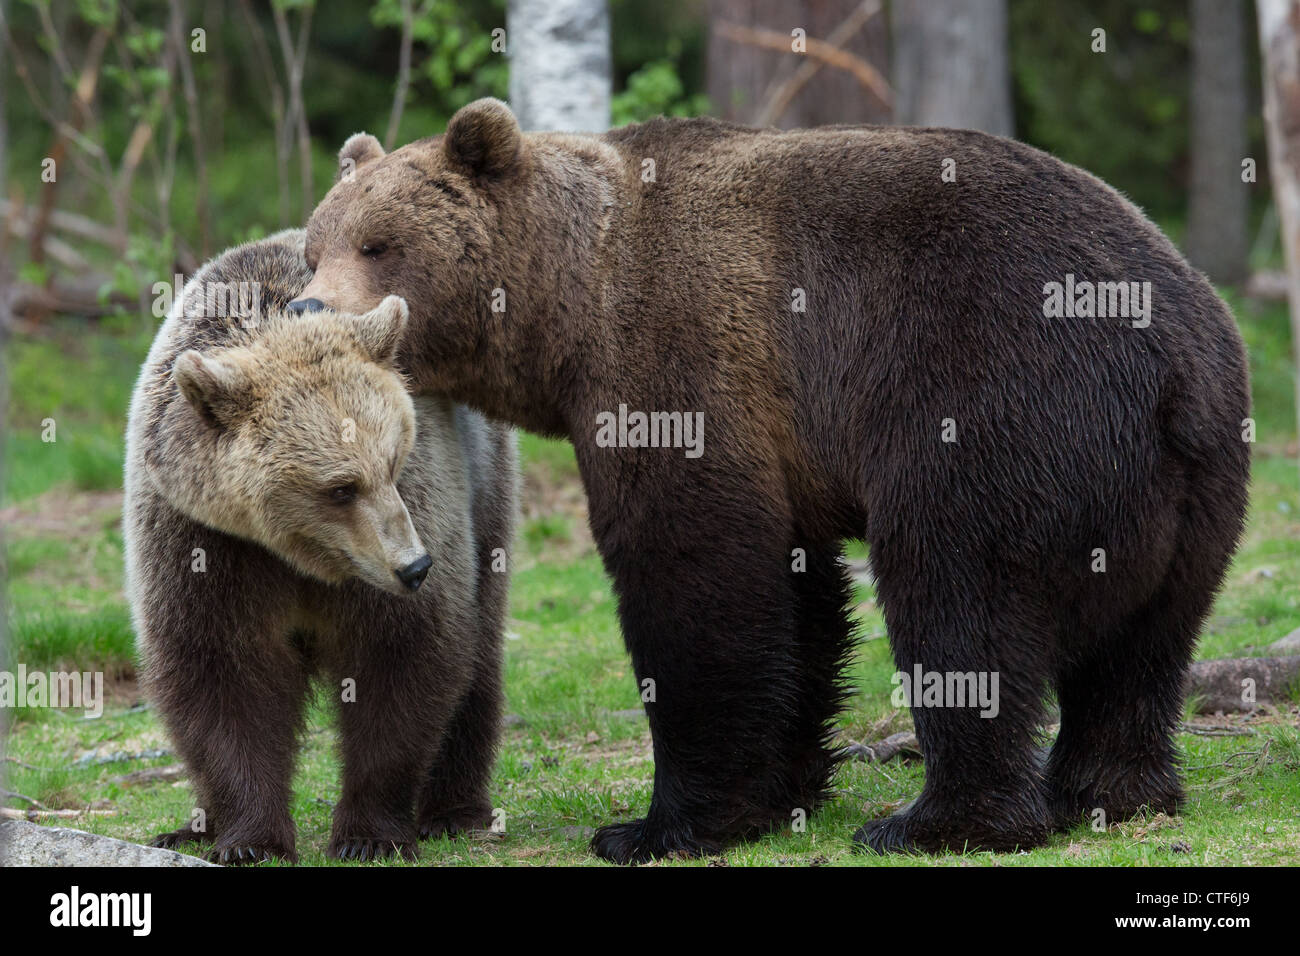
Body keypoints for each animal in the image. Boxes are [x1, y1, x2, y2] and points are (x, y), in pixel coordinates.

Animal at [124, 229, 517, 863]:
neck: (296, 554)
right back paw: (192, 825)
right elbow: (219, 673)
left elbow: (402, 657)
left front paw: (368, 835)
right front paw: (248, 839)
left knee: (480, 645)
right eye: (339, 487)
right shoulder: (201, 541)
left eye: (393, 460)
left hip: (484, 480)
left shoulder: (419, 506)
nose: (414, 566)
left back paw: (457, 811)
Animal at [292, 99, 1251, 864]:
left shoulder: (680, 362)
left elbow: (697, 576)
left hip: (996, 406)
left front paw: (654, 826)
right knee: (1143, 644)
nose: (306, 307)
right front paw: (781, 788)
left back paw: (939, 820)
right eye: (313, 247)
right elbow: (797, 601)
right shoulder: (783, 447)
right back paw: (1110, 790)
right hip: (1197, 482)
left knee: (958, 594)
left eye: (380, 244)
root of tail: (1174, 361)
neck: (570, 311)